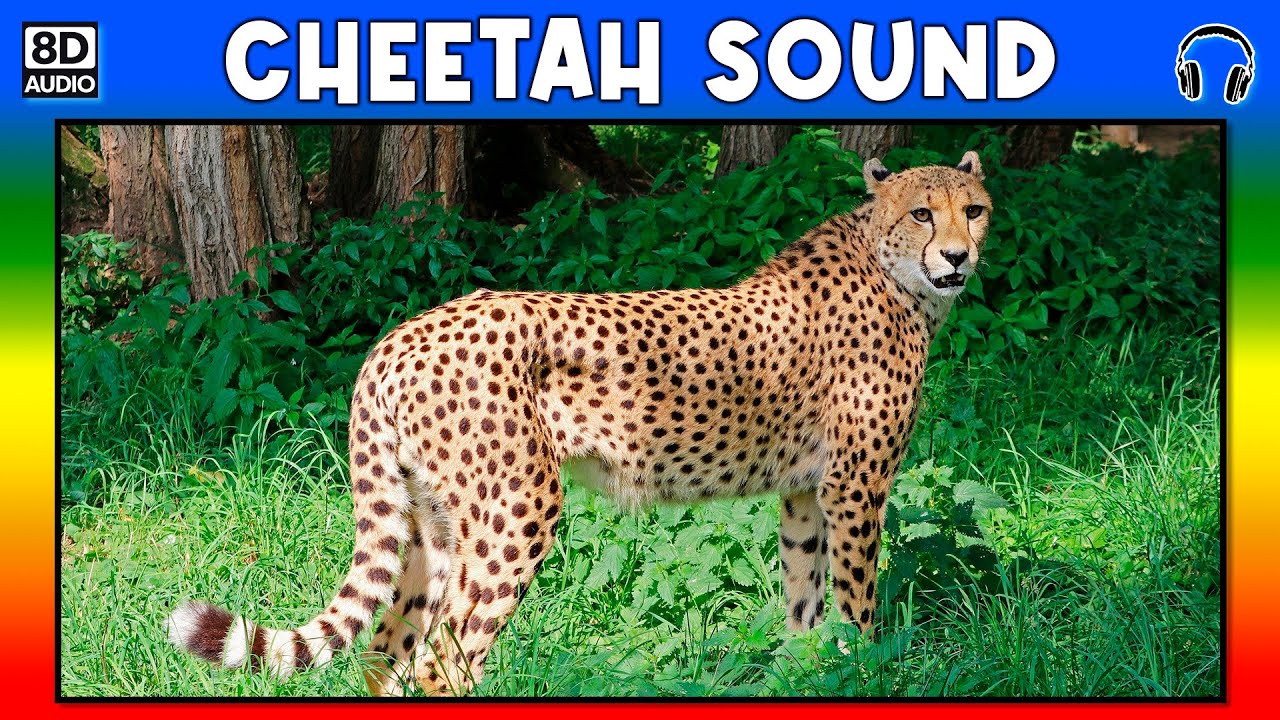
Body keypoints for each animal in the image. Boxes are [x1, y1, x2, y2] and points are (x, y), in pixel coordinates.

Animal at [166, 150, 992, 696]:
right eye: (922, 212)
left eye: (974, 209)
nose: (958, 256)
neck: (896, 273)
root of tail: (402, 334)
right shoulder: (856, 486)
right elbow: (856, 602)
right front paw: (867, 670)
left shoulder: (803, 490)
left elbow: (804, 596)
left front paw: (807, 670)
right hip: (517, 508)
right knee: (443, 663)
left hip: (434, 524)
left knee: (387, 654)